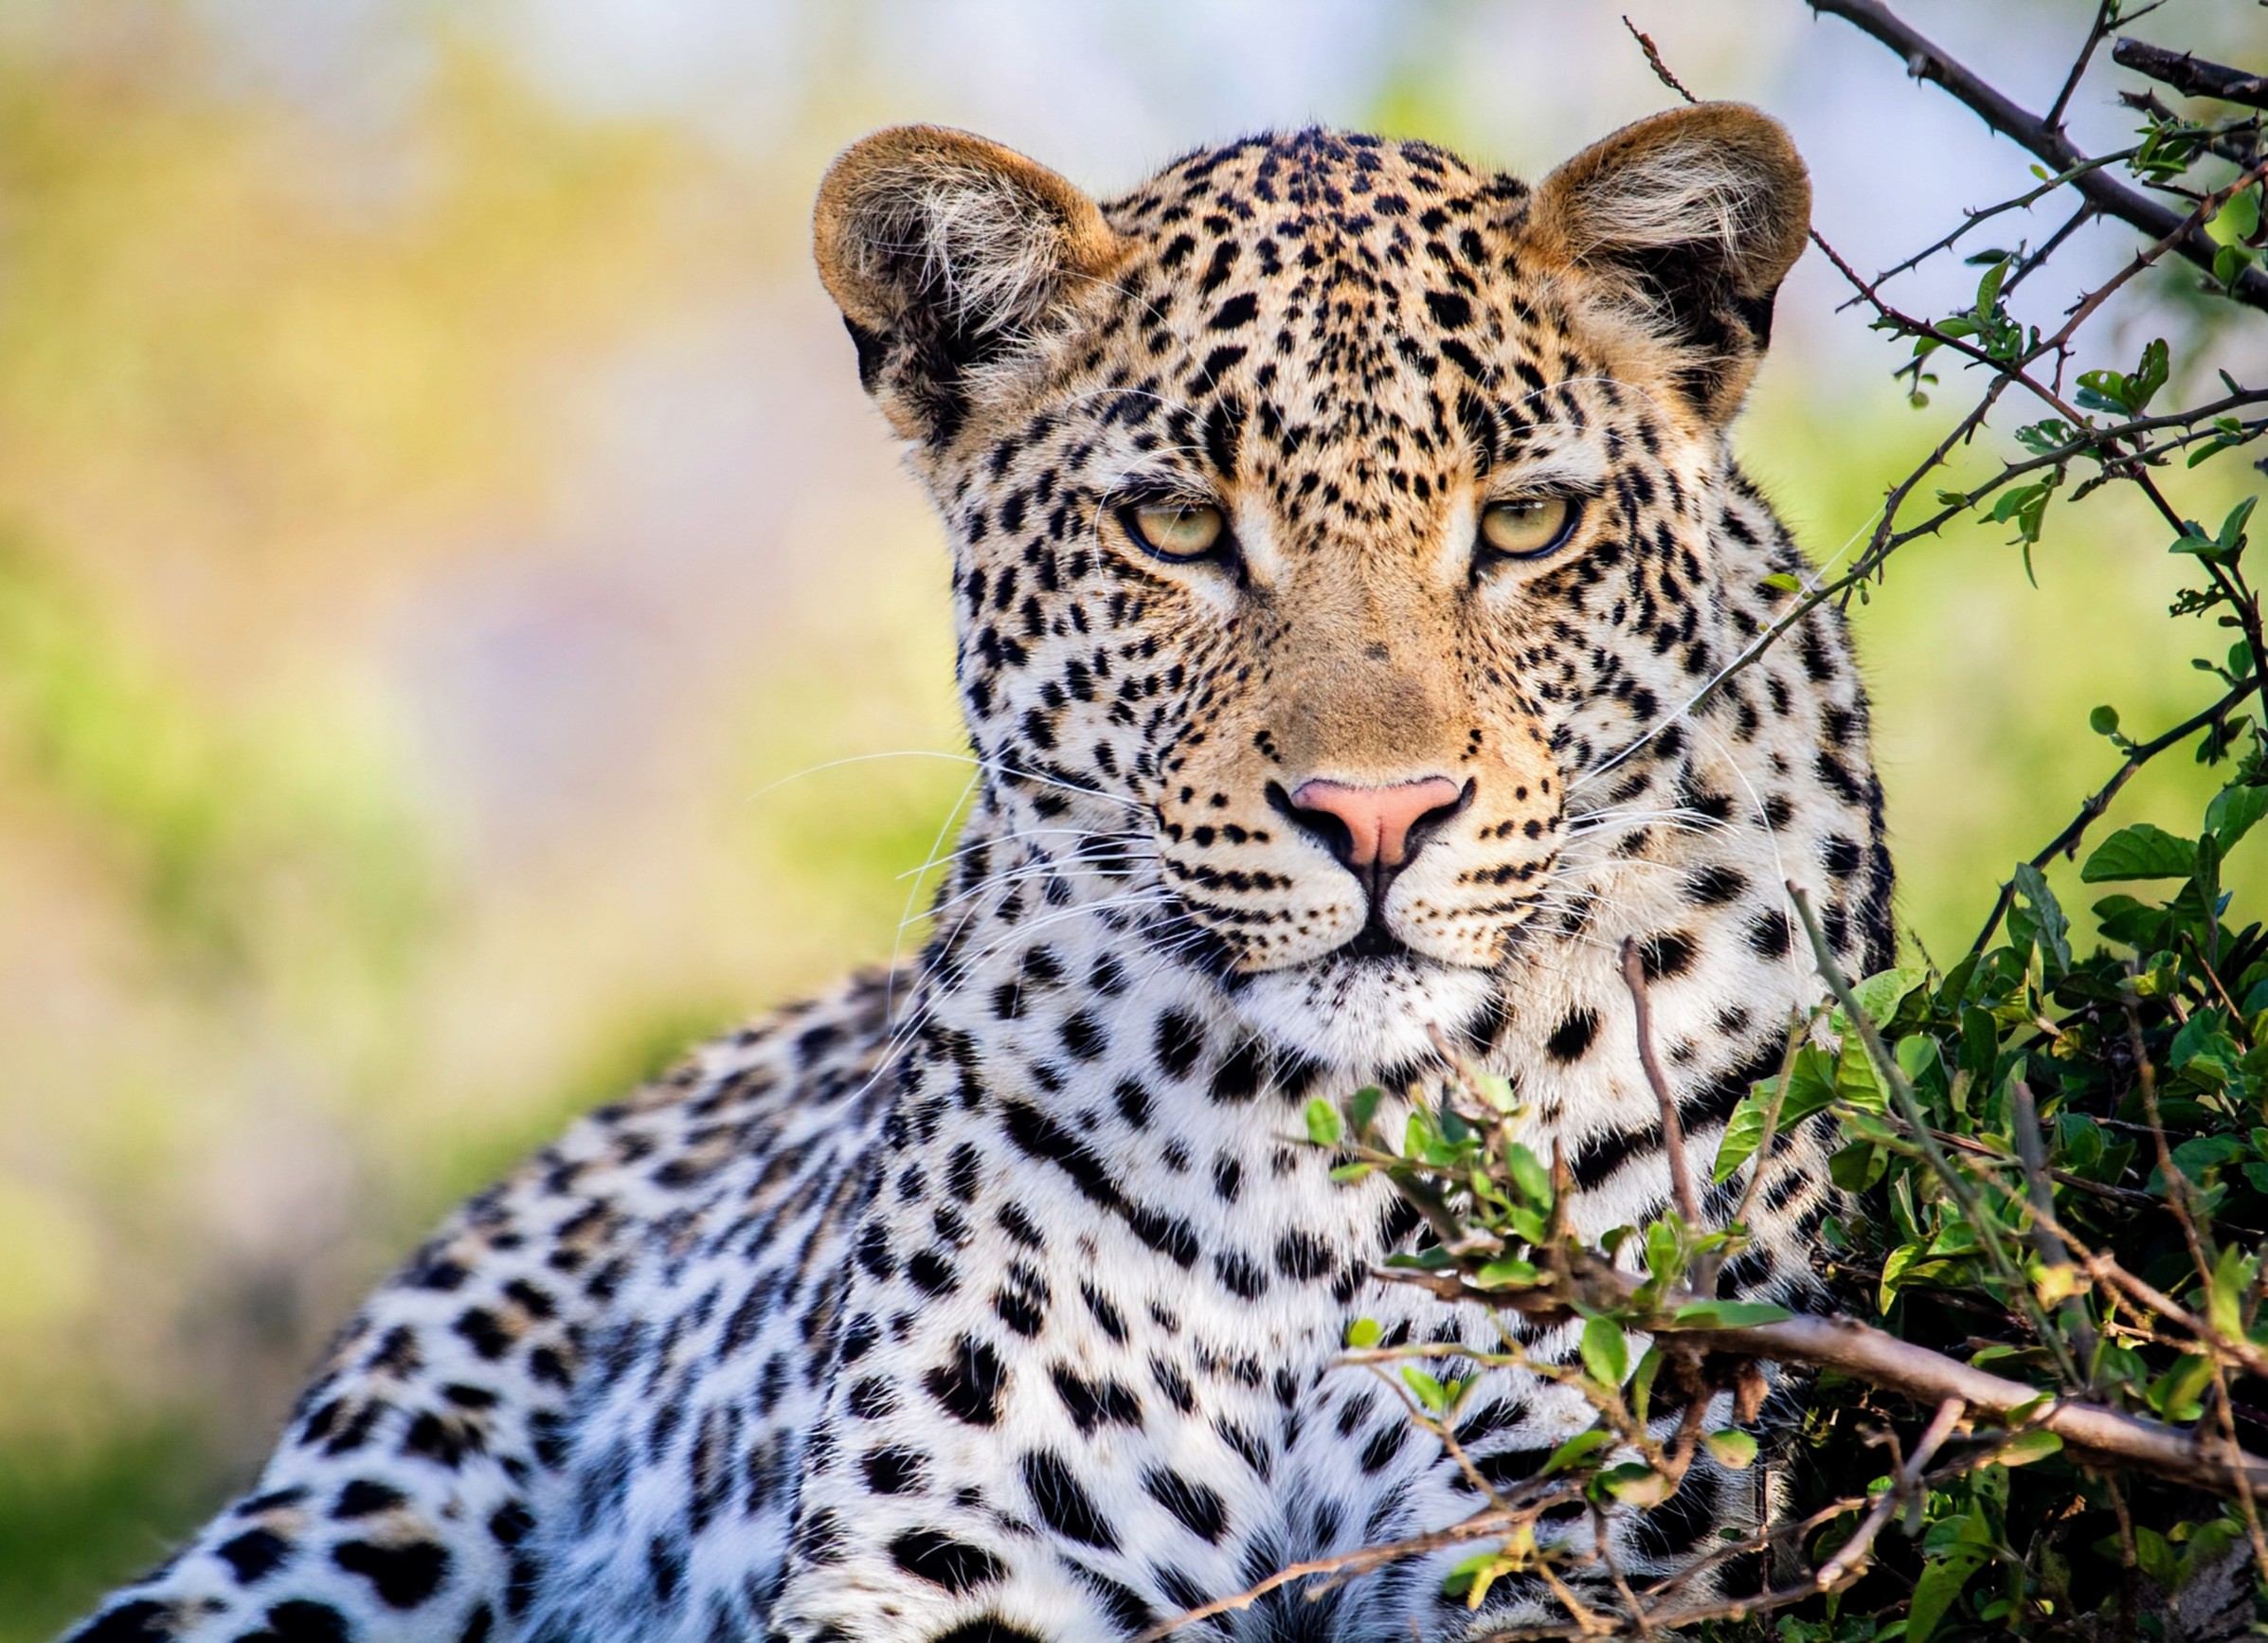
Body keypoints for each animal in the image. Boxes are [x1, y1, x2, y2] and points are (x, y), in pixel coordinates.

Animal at [61, 102, 1892, 1643]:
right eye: (1172, 524)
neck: (1336, 1170)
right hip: (349, 1509)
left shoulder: (1593, 1544)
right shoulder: (956, 1549)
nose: (1375, 817)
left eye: (1520, 524)